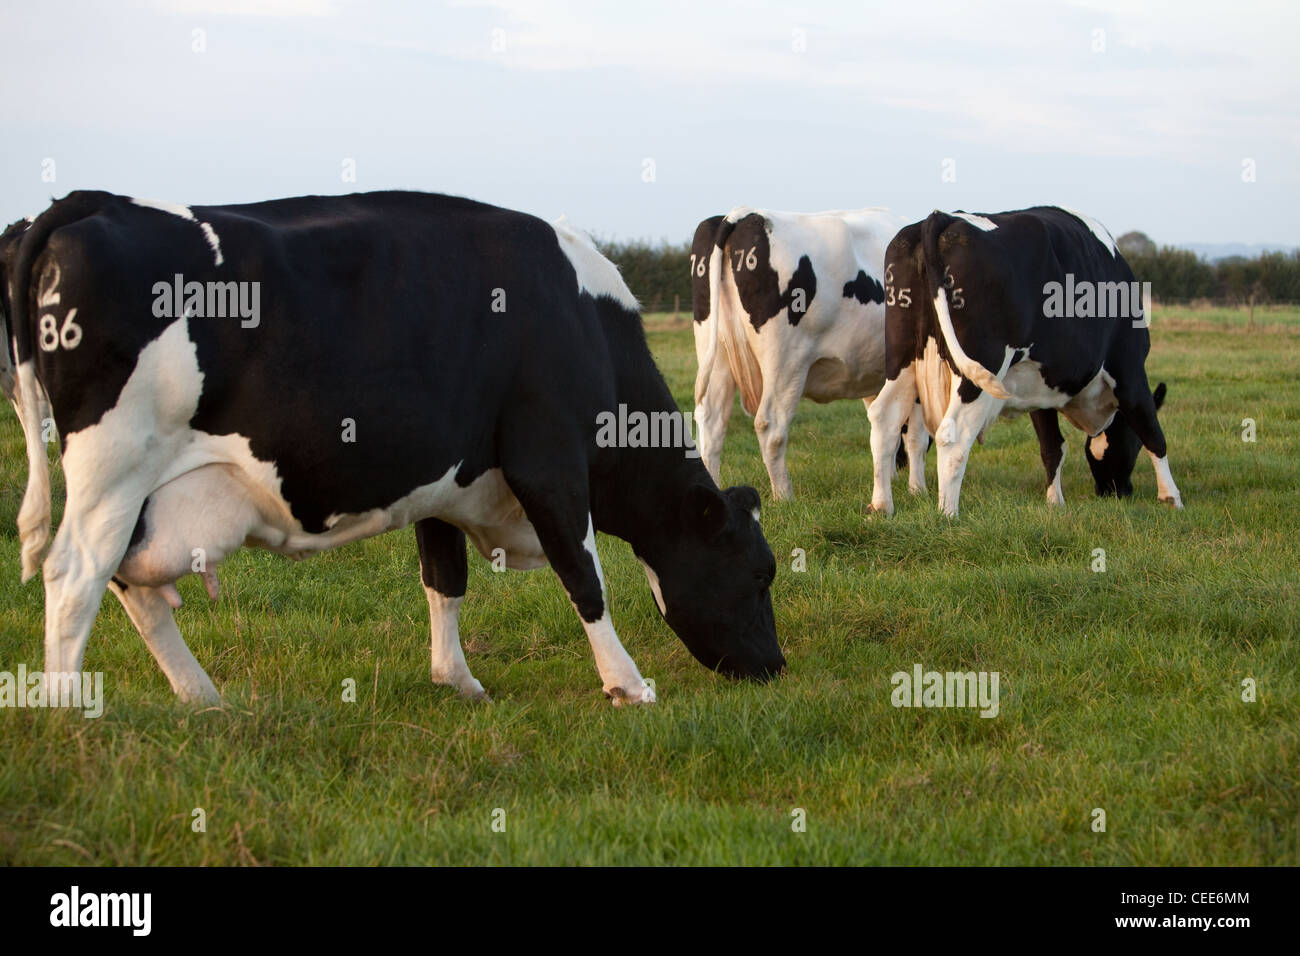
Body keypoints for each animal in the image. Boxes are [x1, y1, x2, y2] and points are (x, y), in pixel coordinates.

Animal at [4, 190, 785, 707]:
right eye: (756, 573)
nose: (775, 667)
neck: (585, 322)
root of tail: (94, 204)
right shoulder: (548, 459)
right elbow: (582, 574)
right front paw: (627, 683)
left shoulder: (447, 475)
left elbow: (444, 577)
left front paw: (457, 680)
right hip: (111, 468)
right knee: (74, 575)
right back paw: (72, 717)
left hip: (144, 491)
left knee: (131, 584)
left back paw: (203, 698)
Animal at [690, 207, 930, 501]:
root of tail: (746, 214)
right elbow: (916, 435)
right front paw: (918, 489)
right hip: (786, 362)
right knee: (771, 426)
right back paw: (785, 496)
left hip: (717, 356)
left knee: (712, 424)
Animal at [867, 206, 1181, 518]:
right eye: (1132, 444)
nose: (1114, 492)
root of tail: (944, 217)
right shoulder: (1129, 371)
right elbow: (1153, 433)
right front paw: (1171, 498)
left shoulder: (1040, 386)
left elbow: (1052, 447)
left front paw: (1055, 502)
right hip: (979, 369)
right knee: (952, 434)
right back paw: (948, 514)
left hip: (902, 359)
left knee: (884, 419)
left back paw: (881, 506)